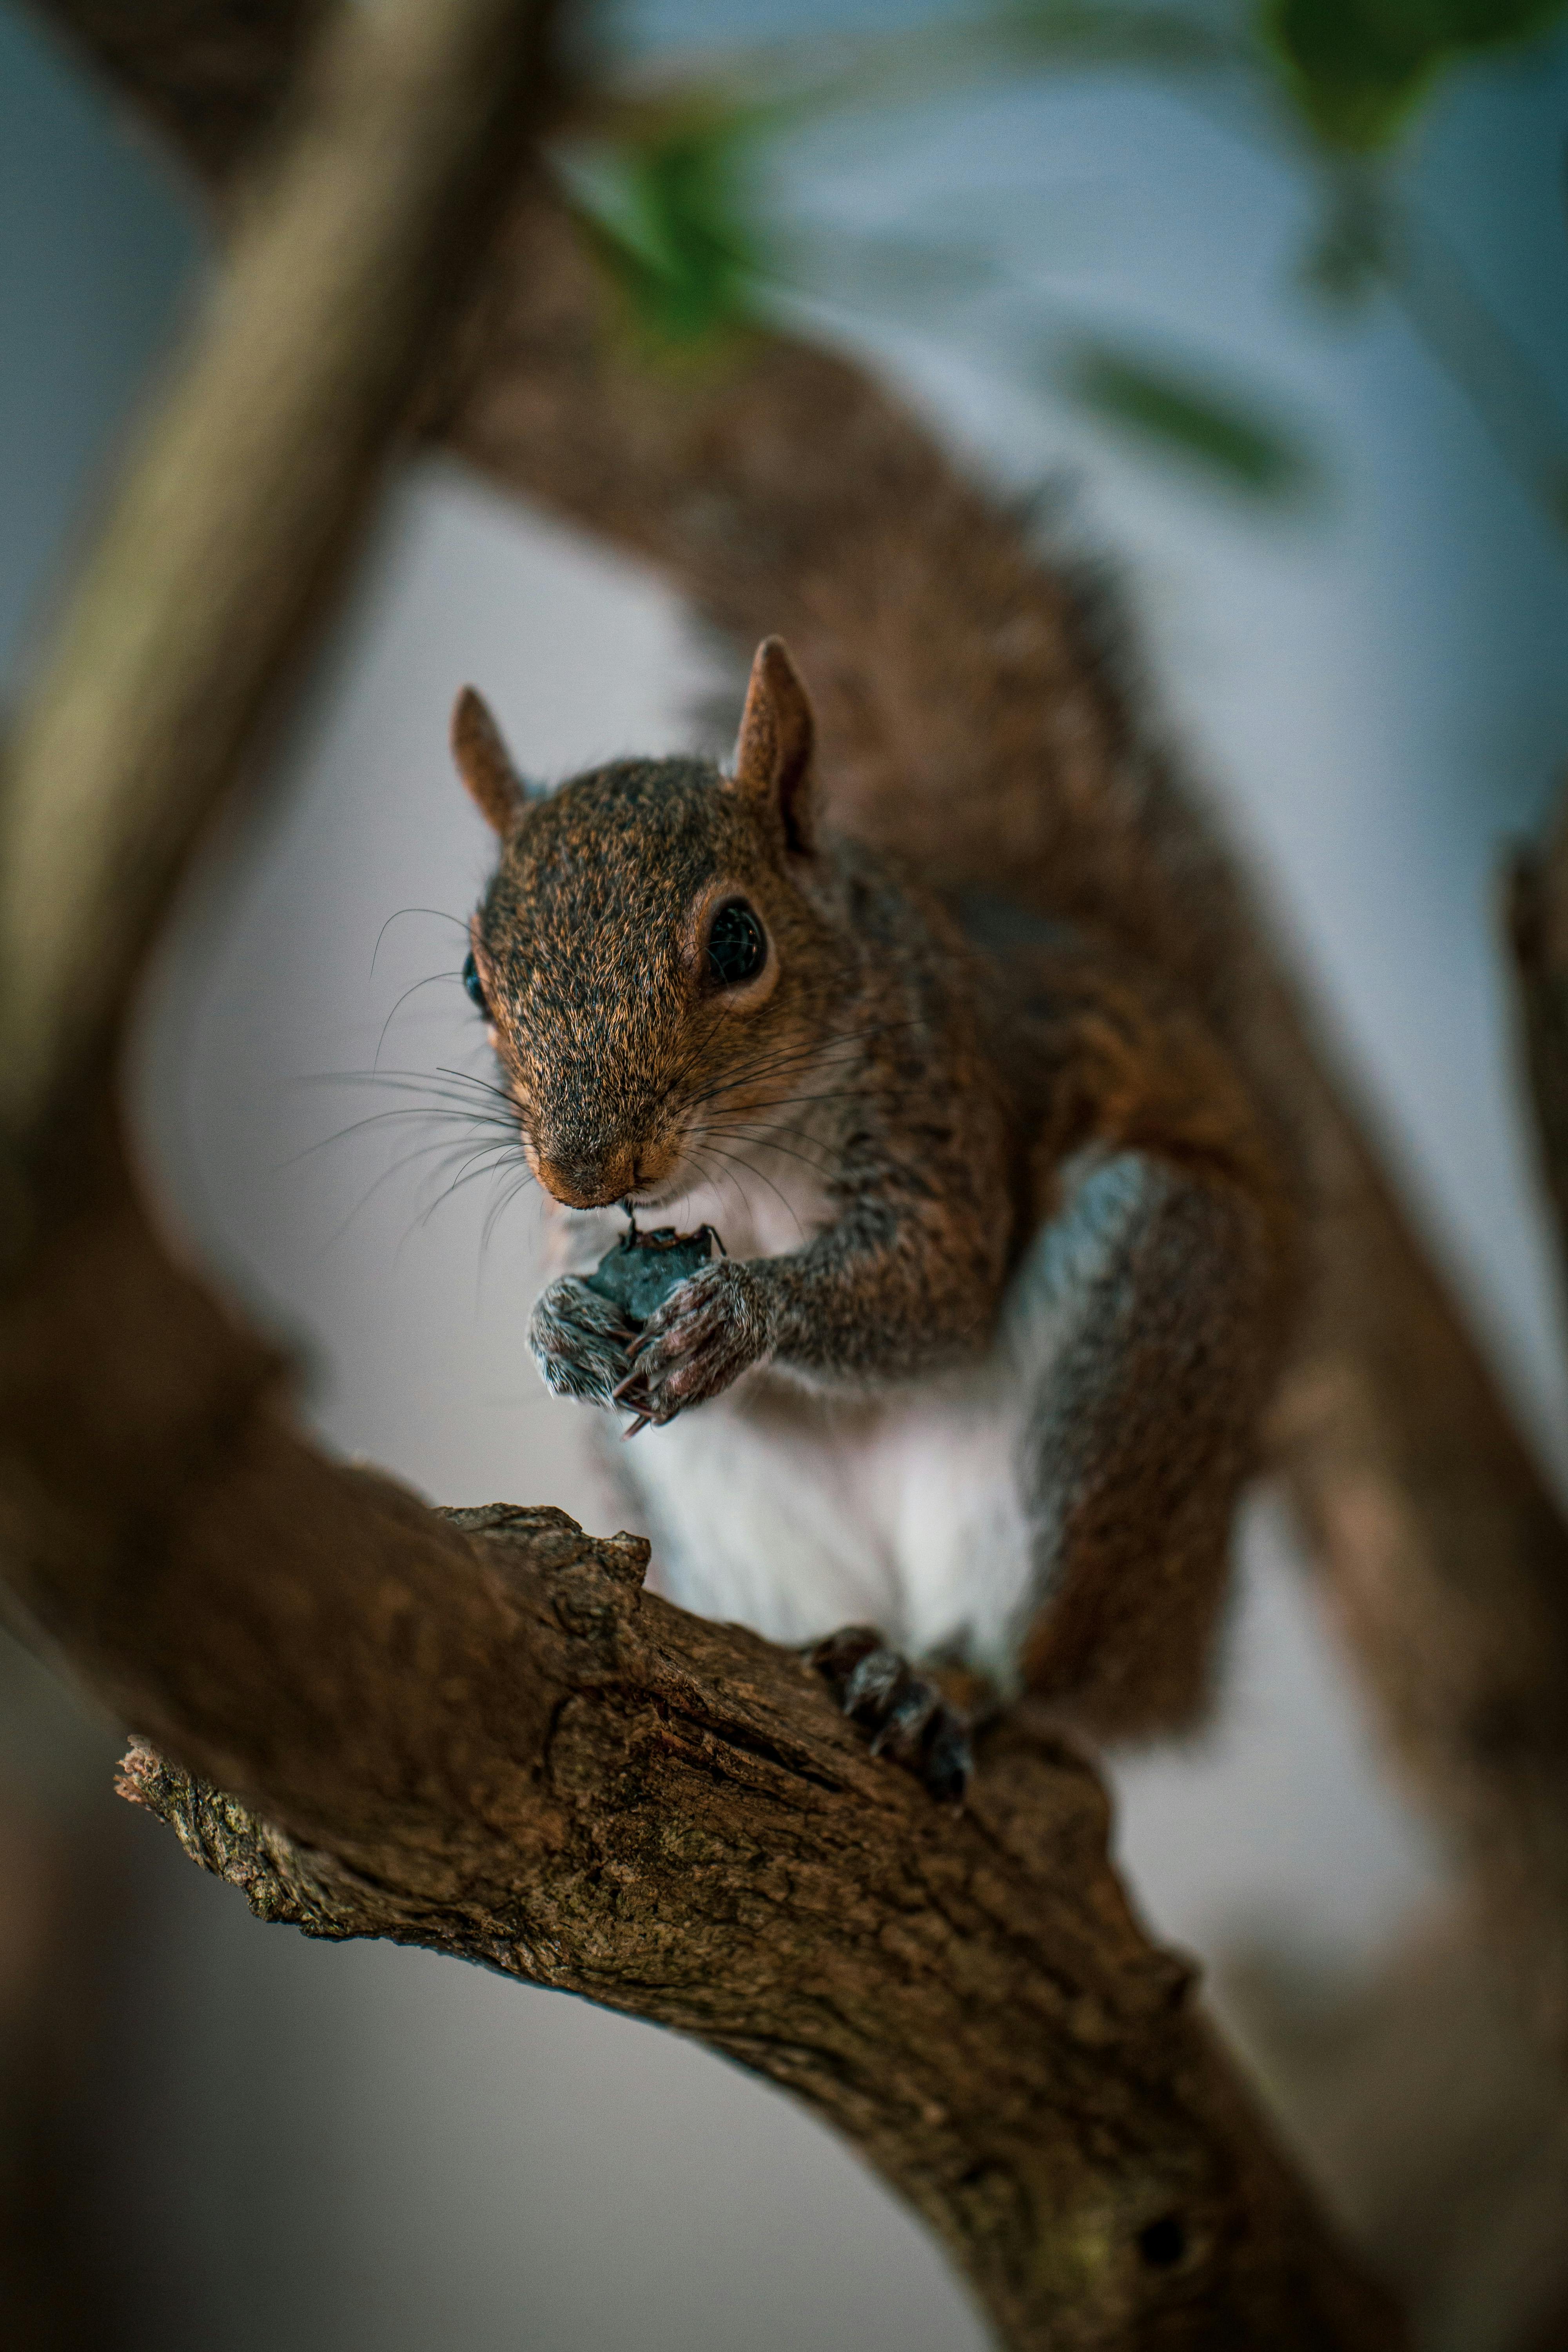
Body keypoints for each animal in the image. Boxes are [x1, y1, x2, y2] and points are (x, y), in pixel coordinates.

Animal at [450, 637, 1297, 1796]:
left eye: (738, 942)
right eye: (472, 980)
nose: (585, 1173)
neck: (741, 1161)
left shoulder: (935, 1101)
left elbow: (940, 1289)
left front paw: (745, 1314)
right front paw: (555, 1328)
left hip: (1147, 1326)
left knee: (1034, 1668)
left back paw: (940, 1681)